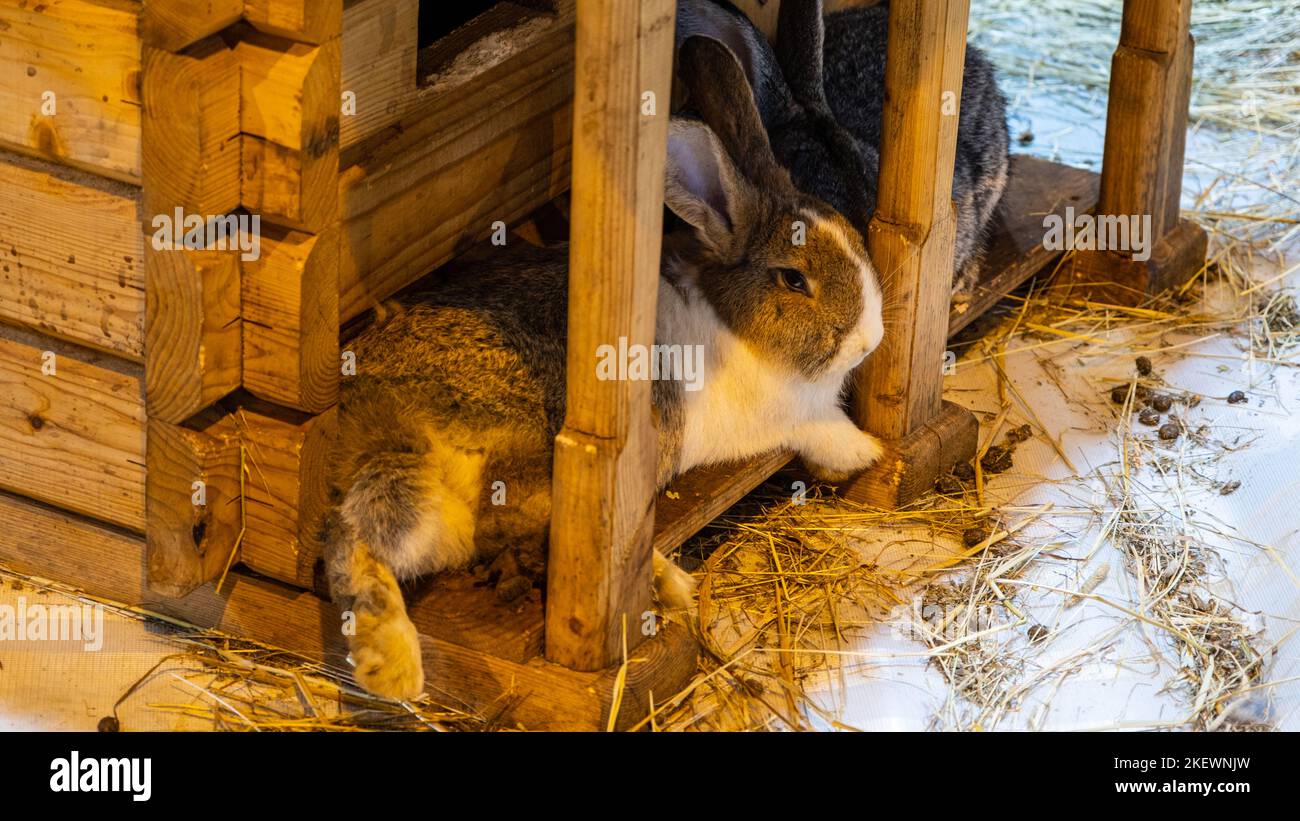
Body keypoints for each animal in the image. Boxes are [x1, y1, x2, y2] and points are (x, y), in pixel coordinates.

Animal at [319, 57, 886, 702]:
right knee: (373, 537)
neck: (731, 321)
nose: (870, 340)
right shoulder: (785, 417)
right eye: (794, 279)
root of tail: (374, 408)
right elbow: (823, 428)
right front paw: (866, 452)